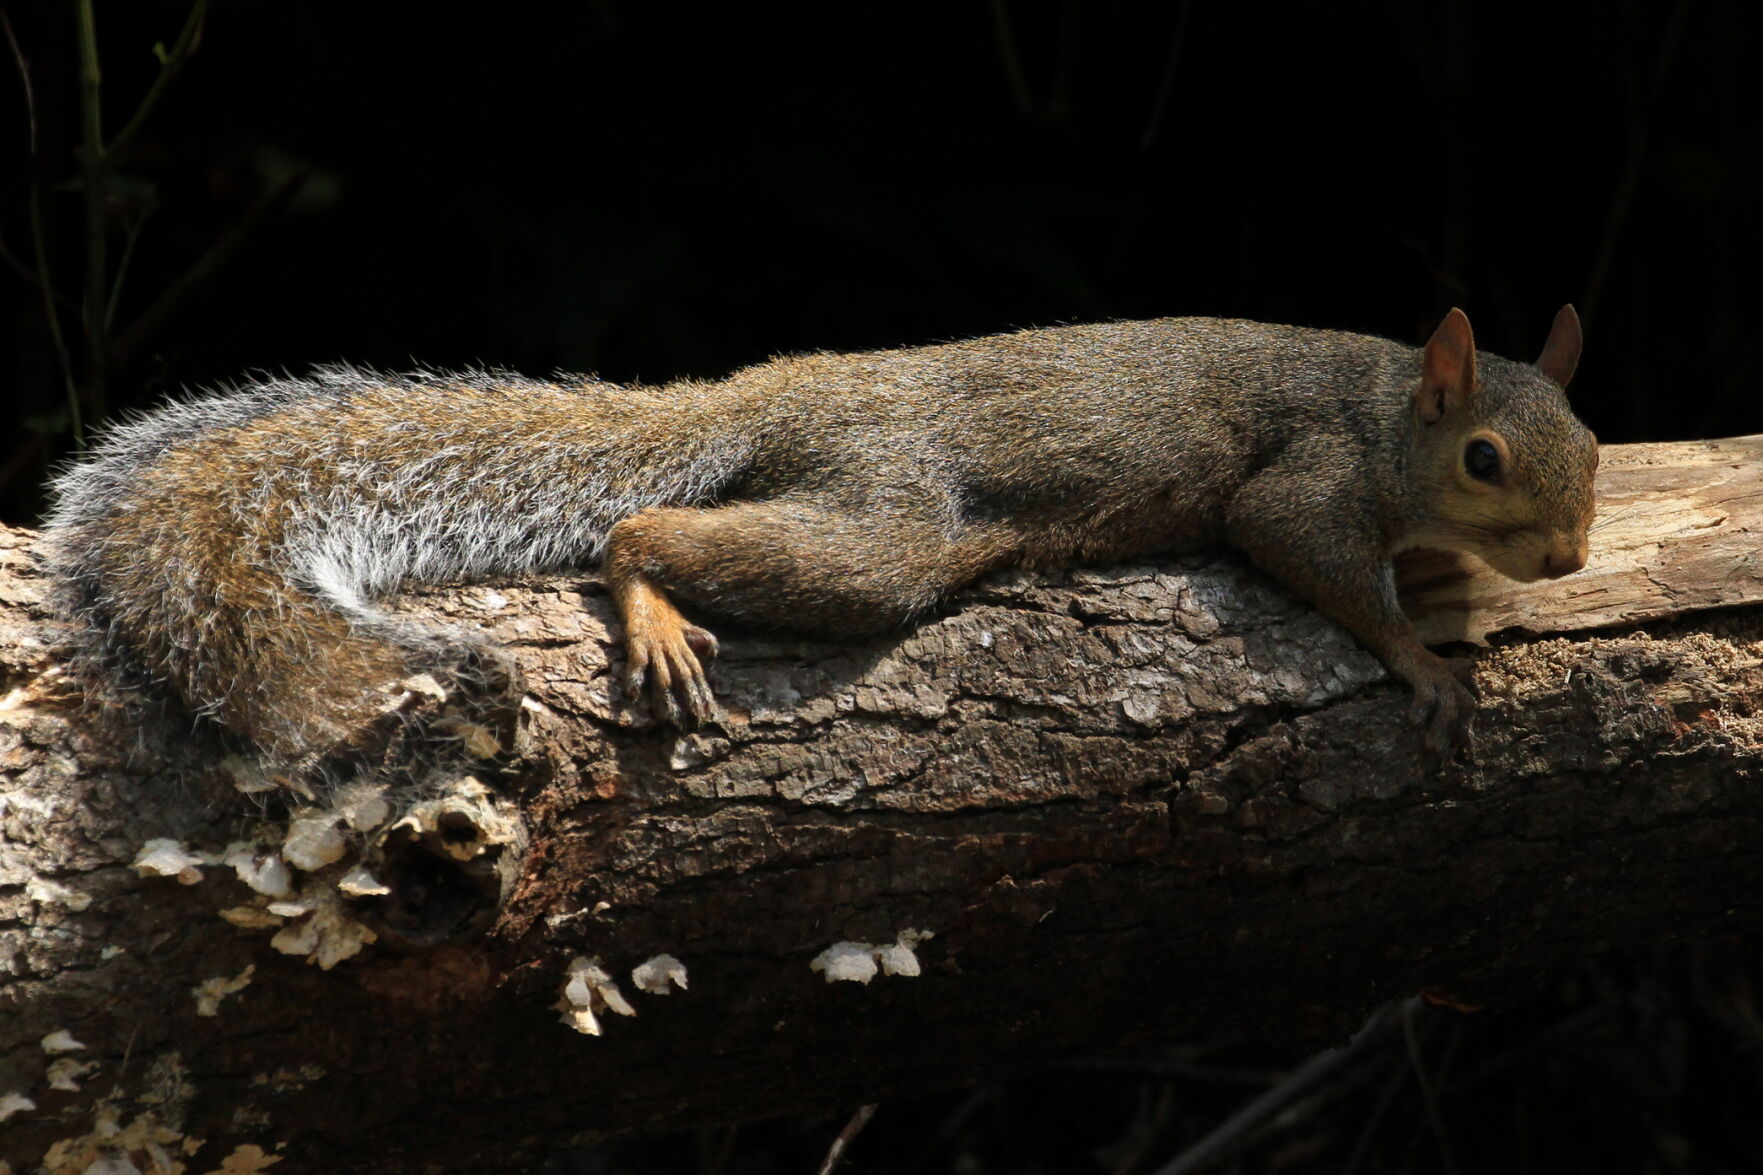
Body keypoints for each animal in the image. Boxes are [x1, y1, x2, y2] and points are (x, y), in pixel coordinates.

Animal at [43, 306, 1595, 778]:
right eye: (1481, 459)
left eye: (1593, 442)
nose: (1572, 561)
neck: (1386, 408)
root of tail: (785, 392)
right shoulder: (1306, 479)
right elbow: (1310, 557)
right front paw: (1421, 657)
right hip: (882, 525)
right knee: (640, 525)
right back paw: (651, 605)